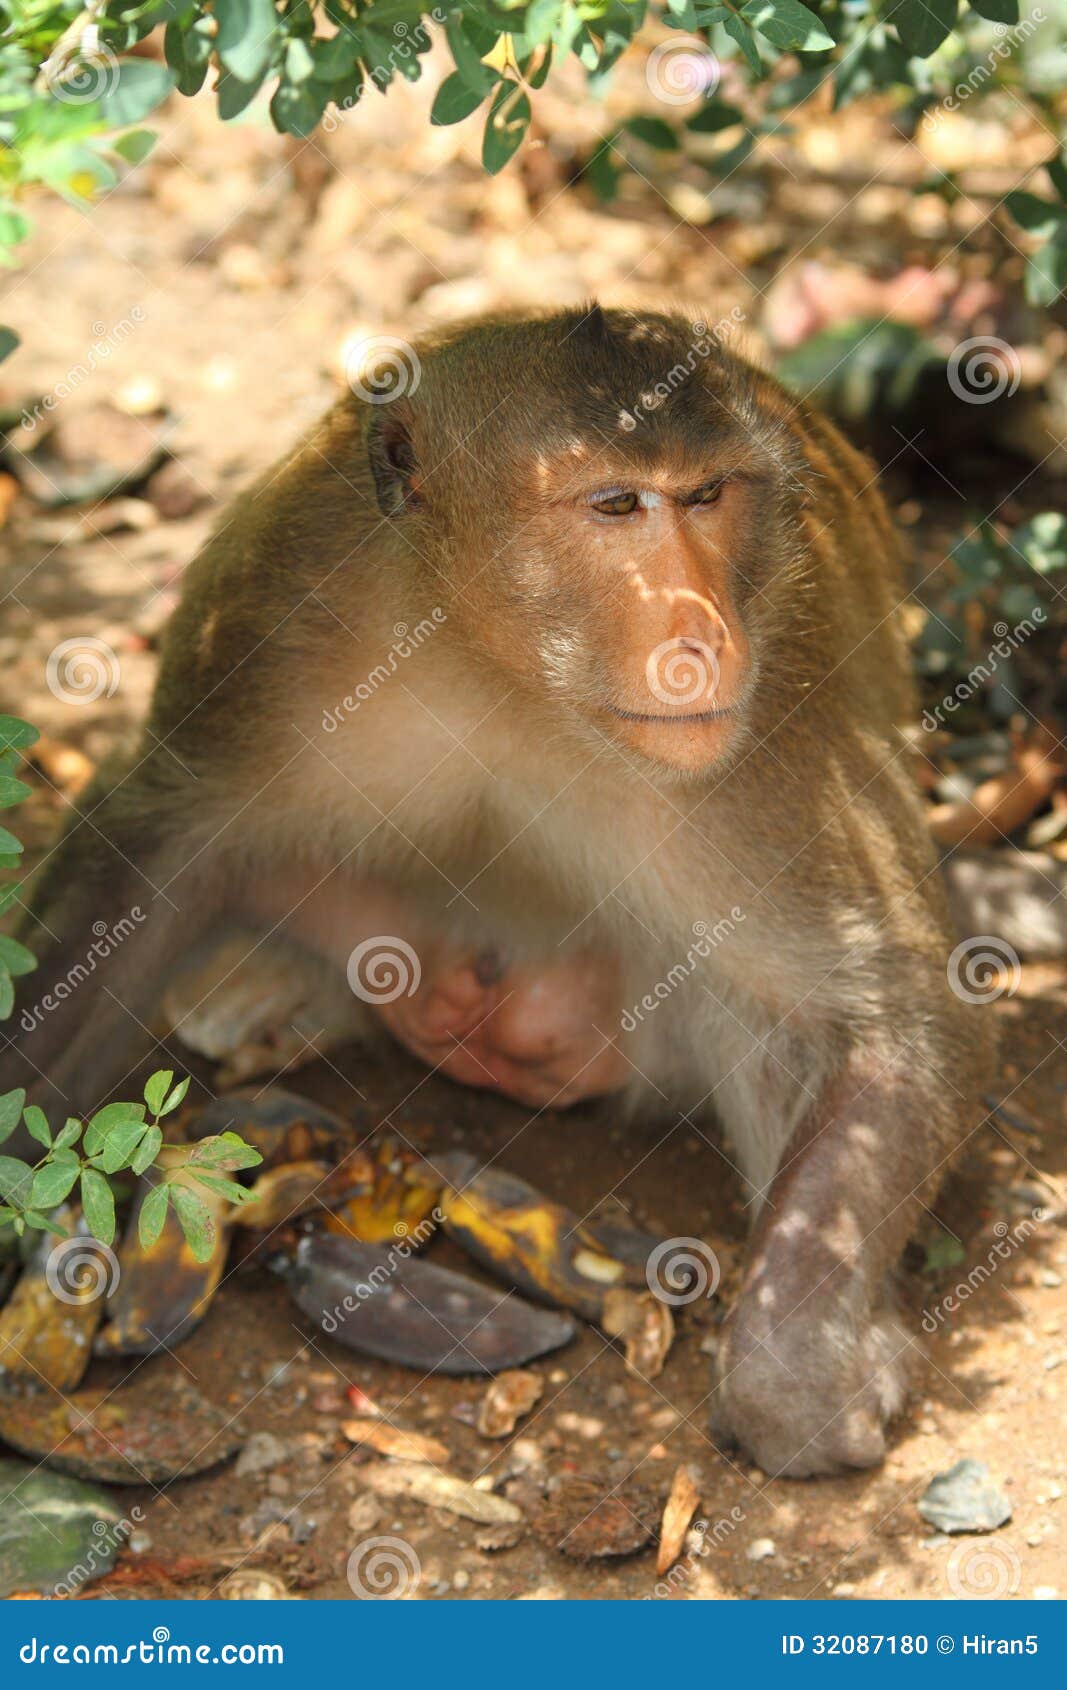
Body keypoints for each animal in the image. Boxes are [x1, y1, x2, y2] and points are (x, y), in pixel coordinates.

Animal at [1, 304, 996, 1478]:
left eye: (708, 495)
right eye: (614, 506)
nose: (701, 630)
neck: (507, 671)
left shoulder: (768, 741)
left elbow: (897, 1017)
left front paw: (794, 1374)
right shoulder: (276, 613)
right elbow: (155, 852)